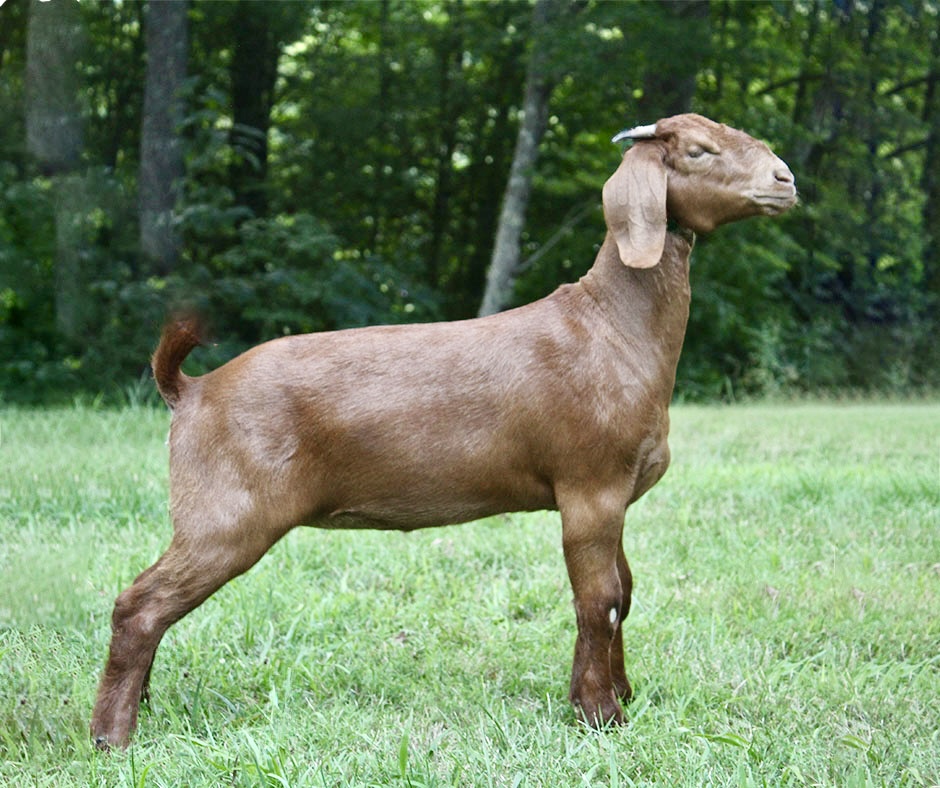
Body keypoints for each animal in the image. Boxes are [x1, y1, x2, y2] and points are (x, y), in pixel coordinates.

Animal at [91, 113, 796, 748]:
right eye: (699, 151)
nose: (784, 179)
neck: (611, 328)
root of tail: (191, 390)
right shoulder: (589, 489)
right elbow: (598, 601)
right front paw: (603, 718)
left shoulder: (613, 498)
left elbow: (623, 592)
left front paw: (613, 695)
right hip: (227, 516)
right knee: (139, 605)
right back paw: (112, 737)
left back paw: (143, 706)